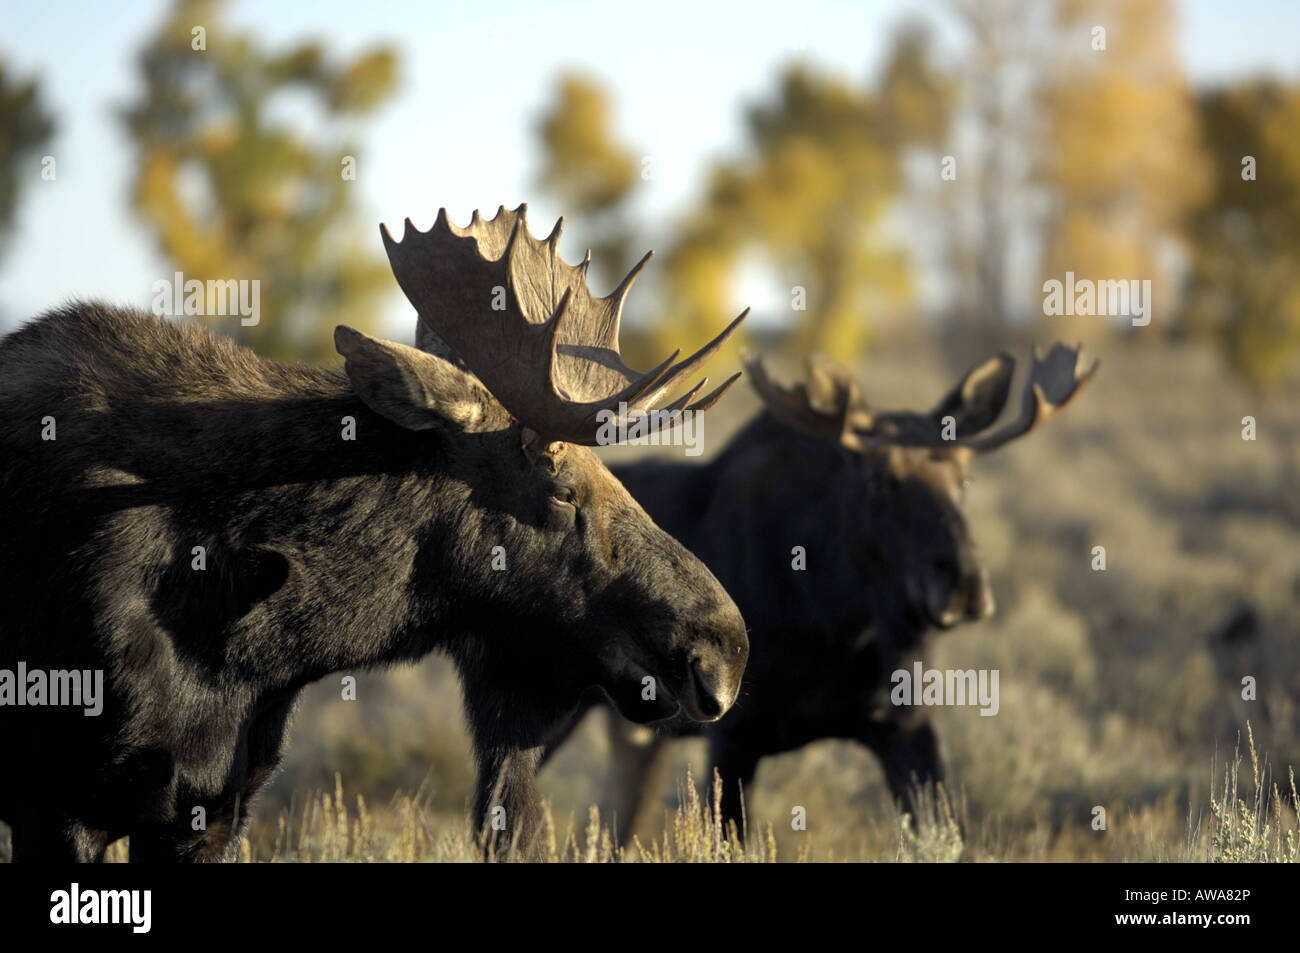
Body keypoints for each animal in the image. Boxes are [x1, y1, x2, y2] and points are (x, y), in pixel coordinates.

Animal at [537, 342, 1097, 841]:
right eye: (880, 480)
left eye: (965, 479)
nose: (966, 586)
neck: (840, 625)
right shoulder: (733, 735)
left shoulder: (906, 723)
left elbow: (945, 835)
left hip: (635, 734)